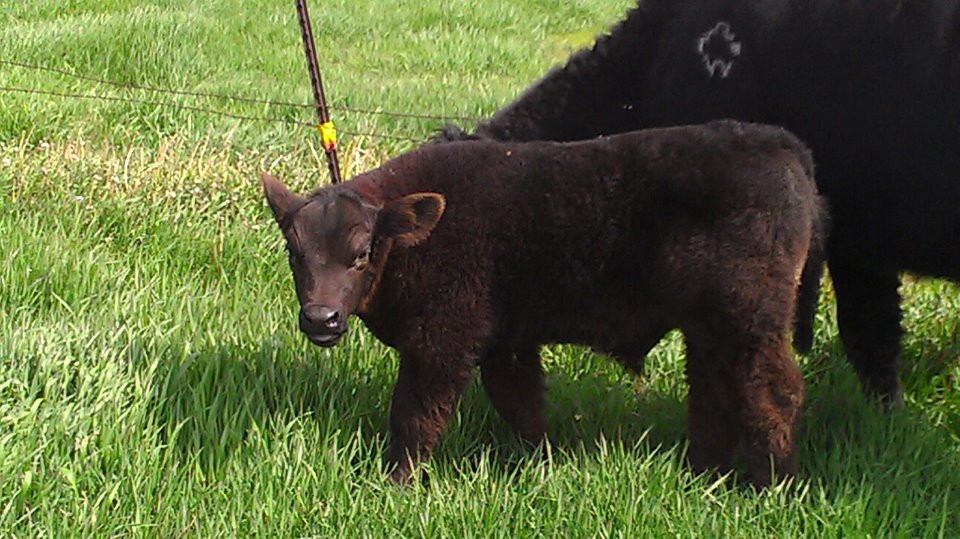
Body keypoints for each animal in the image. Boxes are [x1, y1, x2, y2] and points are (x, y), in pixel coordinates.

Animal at [263, 120, 825, 488]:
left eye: (361, 253)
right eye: (294, 250)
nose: (321, 318)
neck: (415, 240)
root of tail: (779, 144)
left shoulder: (440, 345)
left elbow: (414, 417)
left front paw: (396, 482)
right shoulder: (506, 345)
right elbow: (523, 408)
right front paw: (540, 465)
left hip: (748, 323)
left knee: (772, 393)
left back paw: (771, 487)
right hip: (709, 329)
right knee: (714, 394)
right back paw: (702, 476)